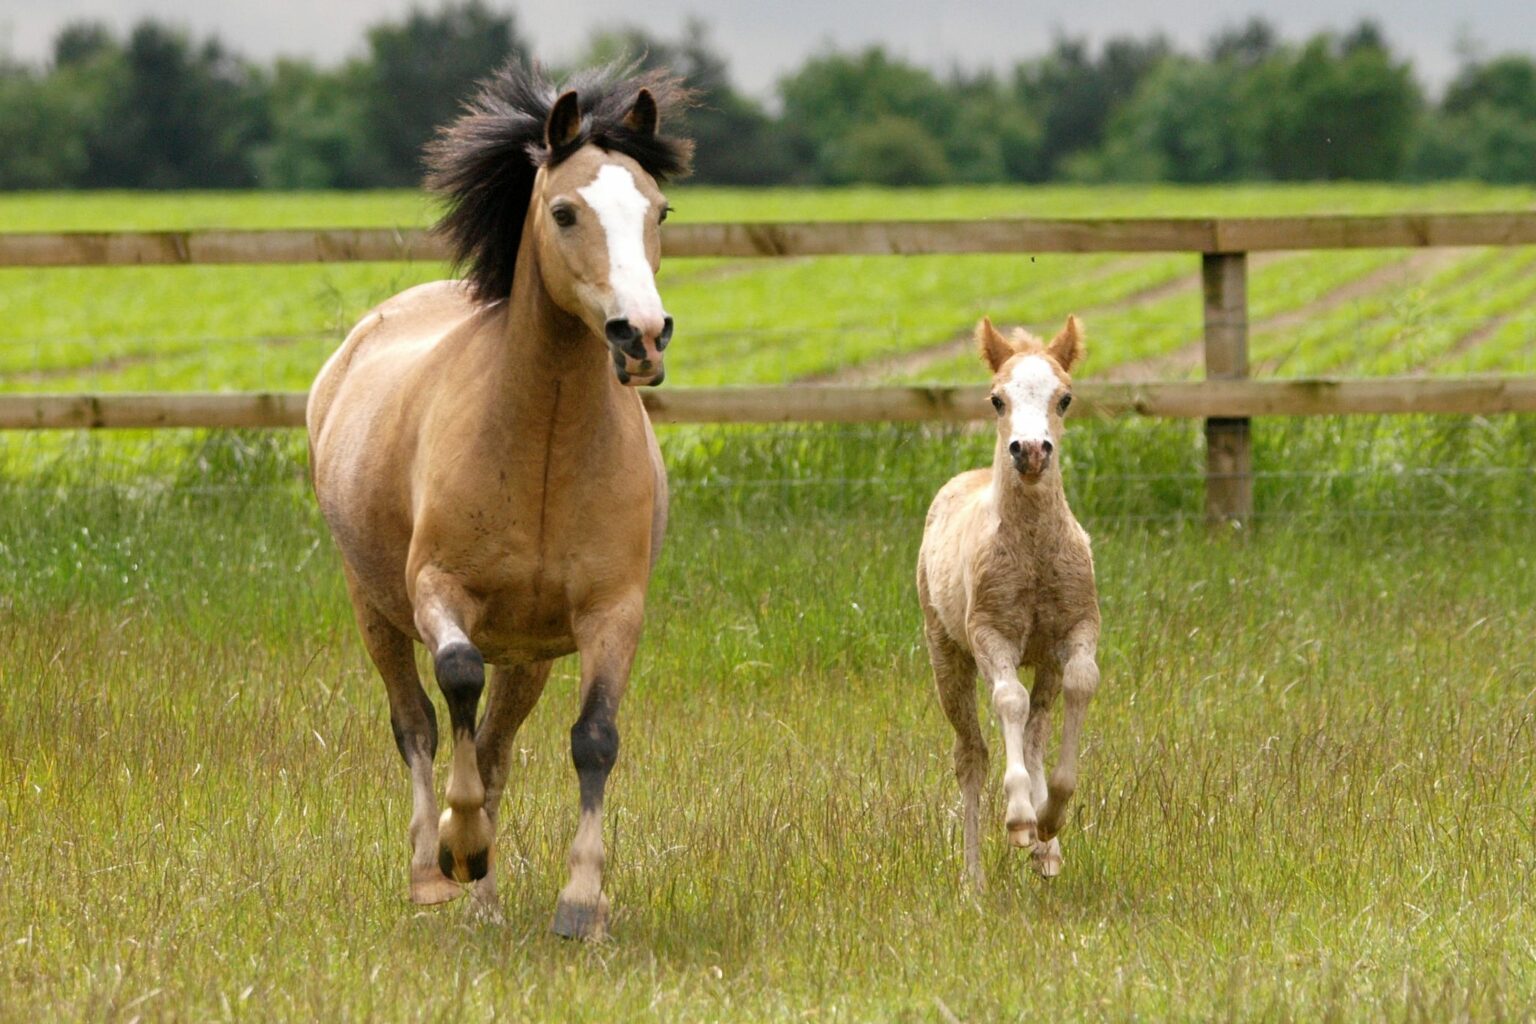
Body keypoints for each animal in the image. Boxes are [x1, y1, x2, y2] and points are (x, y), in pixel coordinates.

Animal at [305, 61, 692, 940]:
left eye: (659, 209)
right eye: (565, 210)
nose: (642, 336)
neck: (541, 448)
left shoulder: (612, 613)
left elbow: (593, 738)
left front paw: (581, 904)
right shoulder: (437, 591)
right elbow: (454, 680)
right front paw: (459, 847)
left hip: (531, 656)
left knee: (495, 745)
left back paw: (482, 900)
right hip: (372, 608)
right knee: (417, 723)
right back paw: (432, 872)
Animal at [915, 316, 1101, 888]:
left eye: (1065, 397)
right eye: (997, 399)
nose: (1031, 450)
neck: (1034, 552)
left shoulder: (1076, 630)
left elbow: (1081, 685)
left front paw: (1050, 818)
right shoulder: (990, 634)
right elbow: (1008, 702)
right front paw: (1020, 817)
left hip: (1042, 659)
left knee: (1037, 731)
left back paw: (1047, 849)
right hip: (945, 653)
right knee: (971, 754)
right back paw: (973, 879)